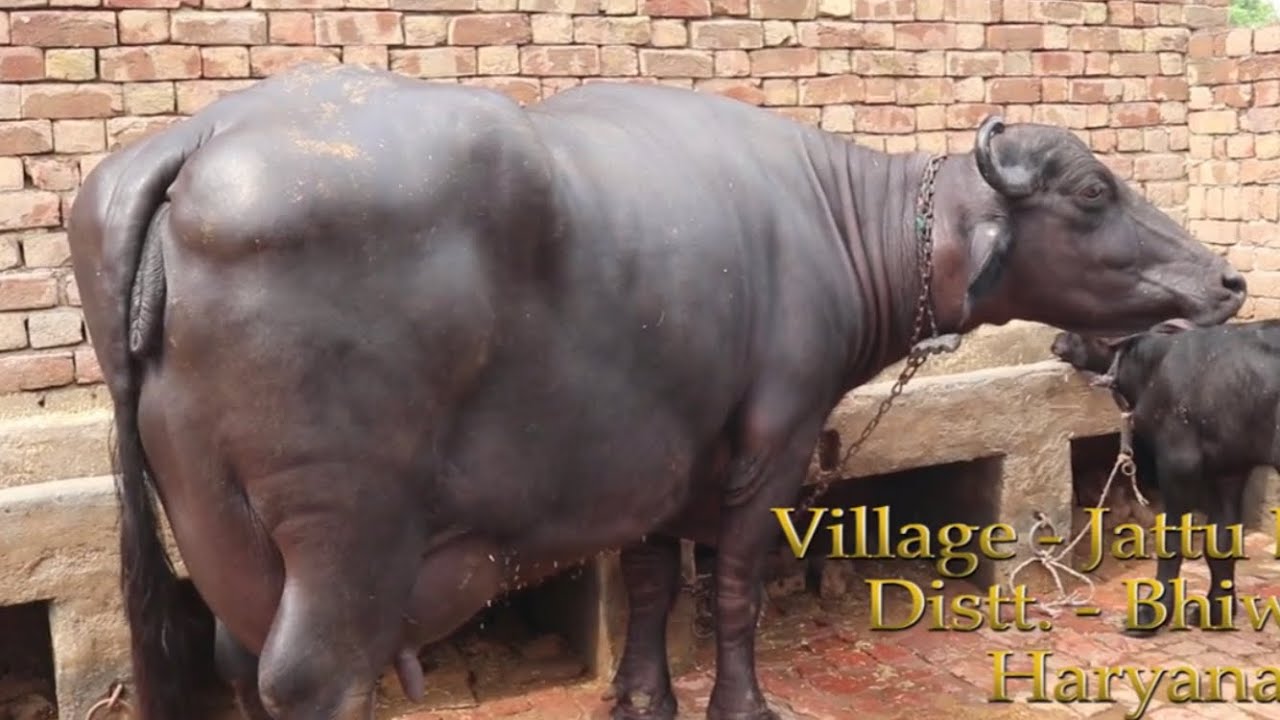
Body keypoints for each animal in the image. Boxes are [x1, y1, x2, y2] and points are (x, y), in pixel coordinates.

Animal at [67, 63, 1247, 720]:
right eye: (1091, 190)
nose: (1228, 279)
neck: (824, 222)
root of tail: (193, 142)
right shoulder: (772, 444)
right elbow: (733, 589)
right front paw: (744, 703)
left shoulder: (655, 460)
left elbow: (645, 584)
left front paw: (642, 695)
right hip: (343, 532)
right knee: (312, 677)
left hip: (213, 519)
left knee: (234, 655)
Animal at [1051, 320, 1280, 637]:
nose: (1056, 340)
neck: (1153, 365)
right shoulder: (1229, 470)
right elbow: (1220, 541)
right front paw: (1216, 610)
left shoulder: (1178, 465)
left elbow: (1173, 541)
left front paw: (1150, 614)